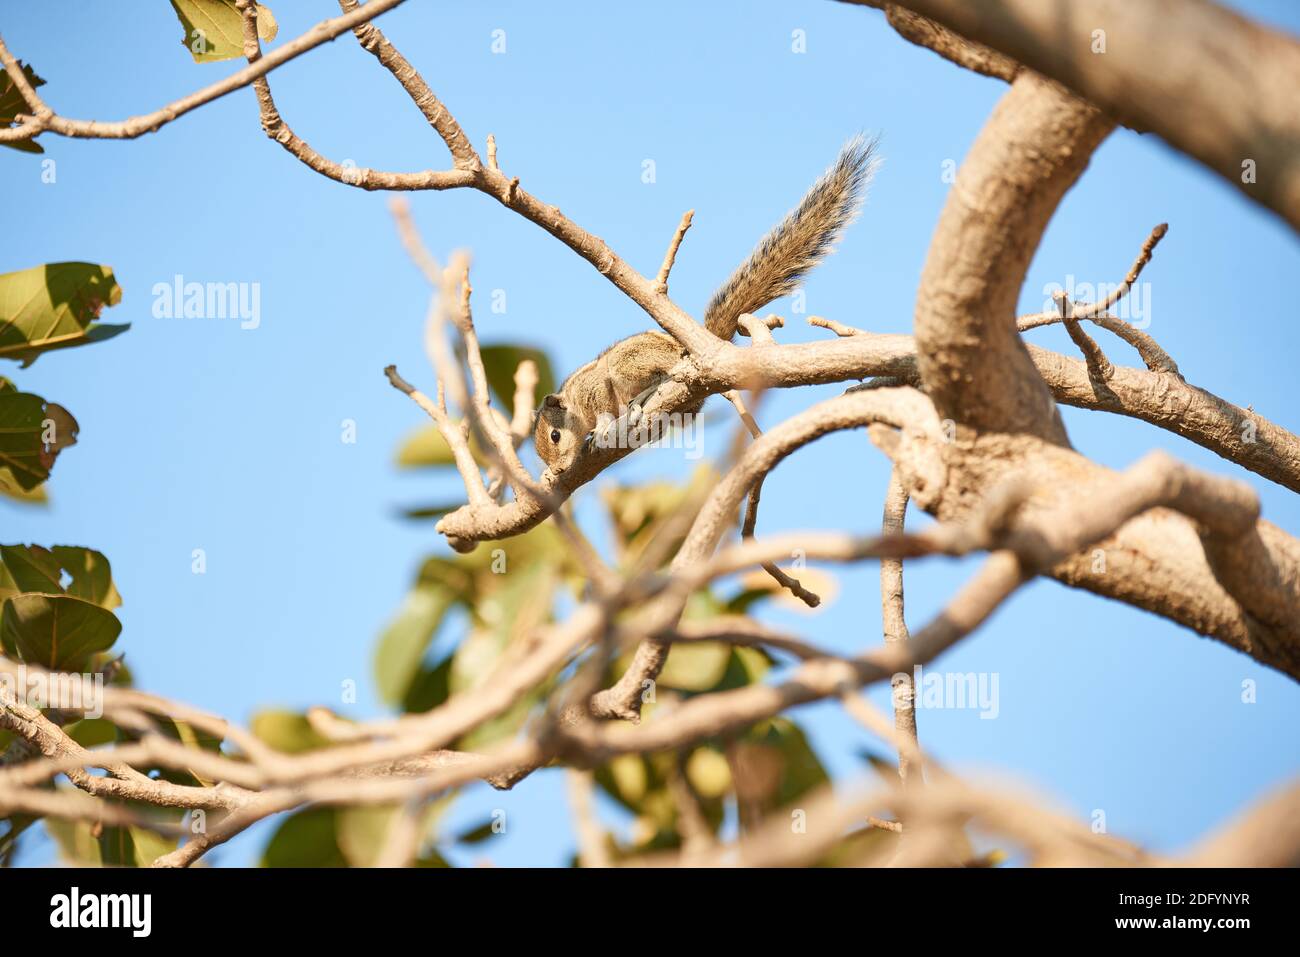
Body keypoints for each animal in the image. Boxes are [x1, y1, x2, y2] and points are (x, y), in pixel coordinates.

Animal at [534, 135, 879, 476]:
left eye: (555, 436)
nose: (557, 471)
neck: (576, 403)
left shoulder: (596, 388)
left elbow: (605, 407)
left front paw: (603, 428)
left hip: (630, 361)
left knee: (660, 376)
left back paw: (640, 399)